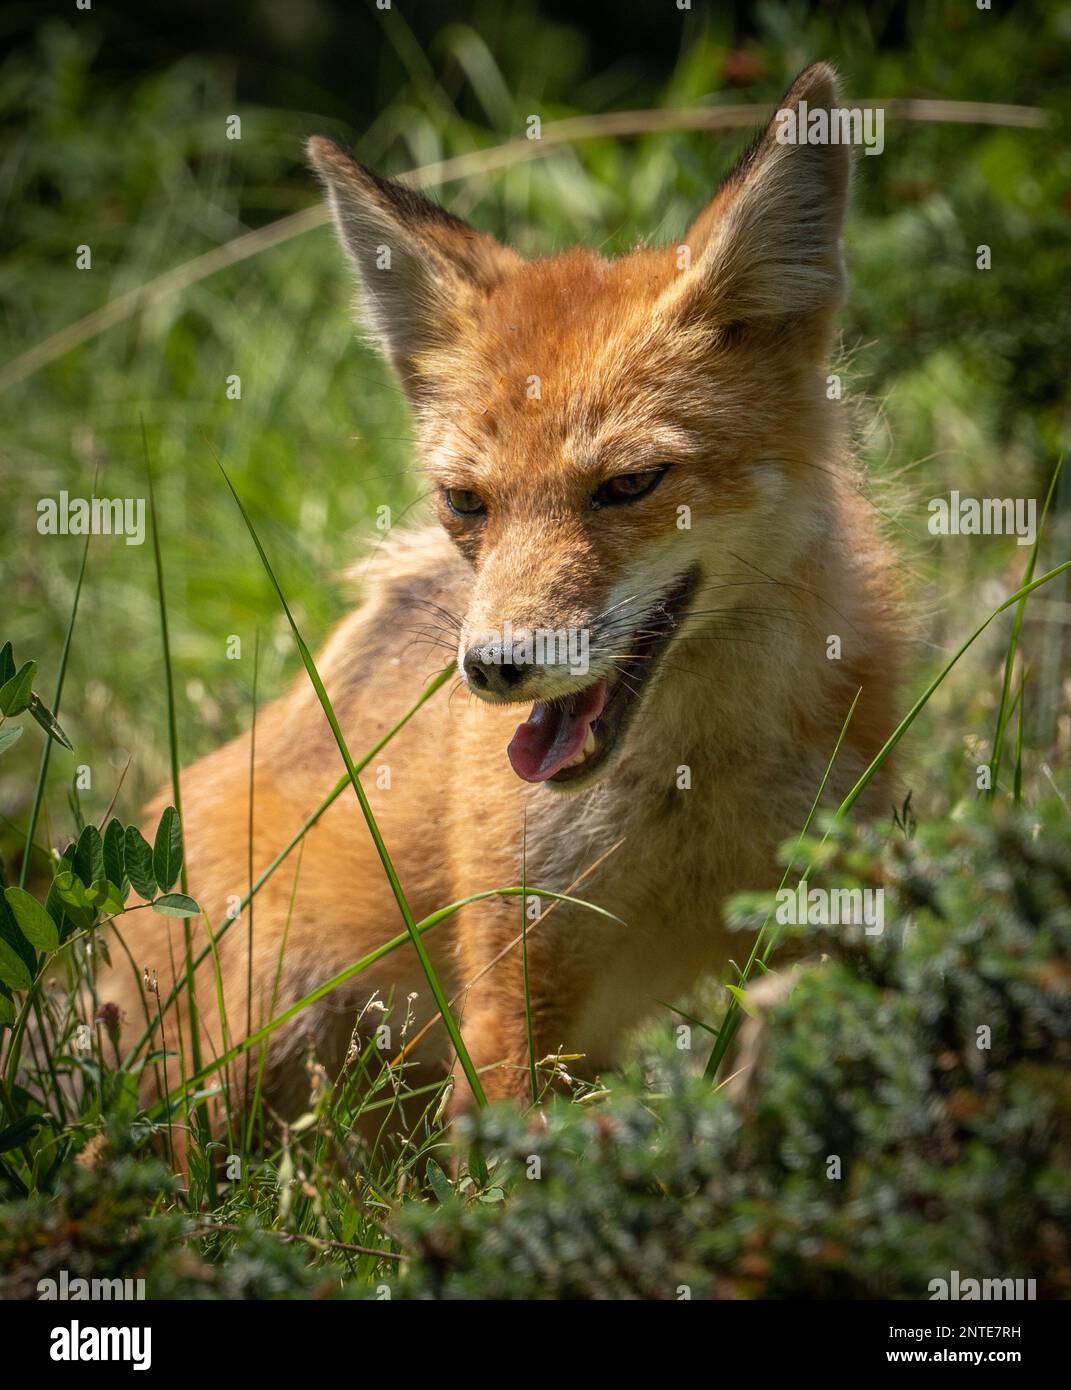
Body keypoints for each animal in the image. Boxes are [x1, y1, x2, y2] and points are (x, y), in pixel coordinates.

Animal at [100, 63, 902, 1141]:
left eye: (631, 483)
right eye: (466, 502)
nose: (491, 669)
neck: (691, 785)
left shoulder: (829, 918)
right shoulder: (513, 982)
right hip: (231, 1055)